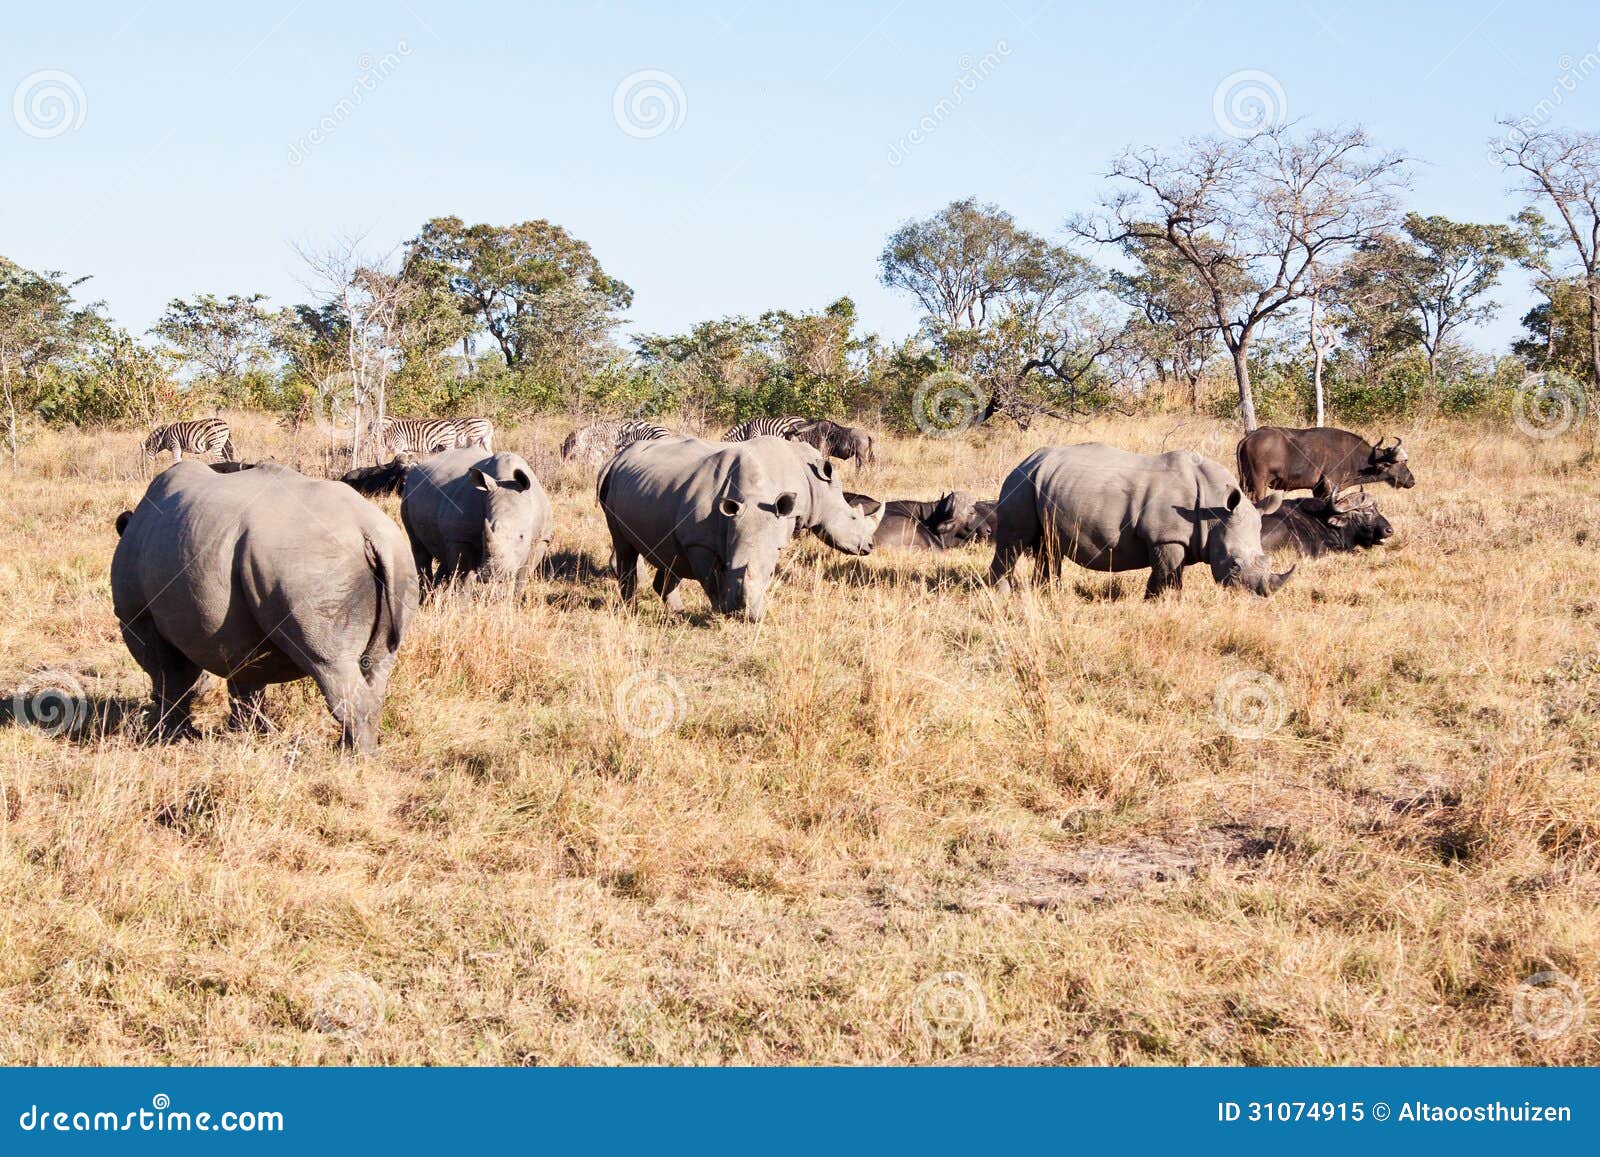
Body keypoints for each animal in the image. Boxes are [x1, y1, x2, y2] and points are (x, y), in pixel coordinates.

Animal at [110, 460, 418, 751]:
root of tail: (366, 531)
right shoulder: (234, 631)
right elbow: (245, 680)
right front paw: (246, 735)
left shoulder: (138, 616)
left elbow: (170, 677)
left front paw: (172, 736)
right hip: (394, 557)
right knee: (378, 662)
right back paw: (351, 749)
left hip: (309, 566)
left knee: (330, 663)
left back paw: (351, 758)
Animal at [400, 448, 553, 594]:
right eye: (483, 534)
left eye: (521, 536)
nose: (493, 574)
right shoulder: (461, 538)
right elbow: (463, 579)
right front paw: (460, 603)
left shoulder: (541, 539)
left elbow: (522, 578)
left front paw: (515, 600)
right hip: (407, 492)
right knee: (419, 549)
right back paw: (425, 597)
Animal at [598, 435, 885, 621]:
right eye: (854, 519)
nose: (870, 546)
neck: (815, 483)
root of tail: (616, 458)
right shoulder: (700, 542)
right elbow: (710, 579)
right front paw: (722, 611)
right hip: (615, 487)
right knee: (624, 545)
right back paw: (631, 609)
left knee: (670, 555)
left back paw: (677, 614)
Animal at [987, 443, 1295, 598]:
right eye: (1233, 563)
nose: (1258, 597)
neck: (1214, 508)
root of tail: (1026, 460)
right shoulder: (1165, 537)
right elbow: (1167, 576)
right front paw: (1163, 604)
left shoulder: (1172, 539)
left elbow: (1165, 576)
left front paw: (1157, 603)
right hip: (1020, 483)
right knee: (1013, 541)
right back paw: (1001, 595)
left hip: (1042, 482)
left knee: (1048, 547)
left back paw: (1048, 595)